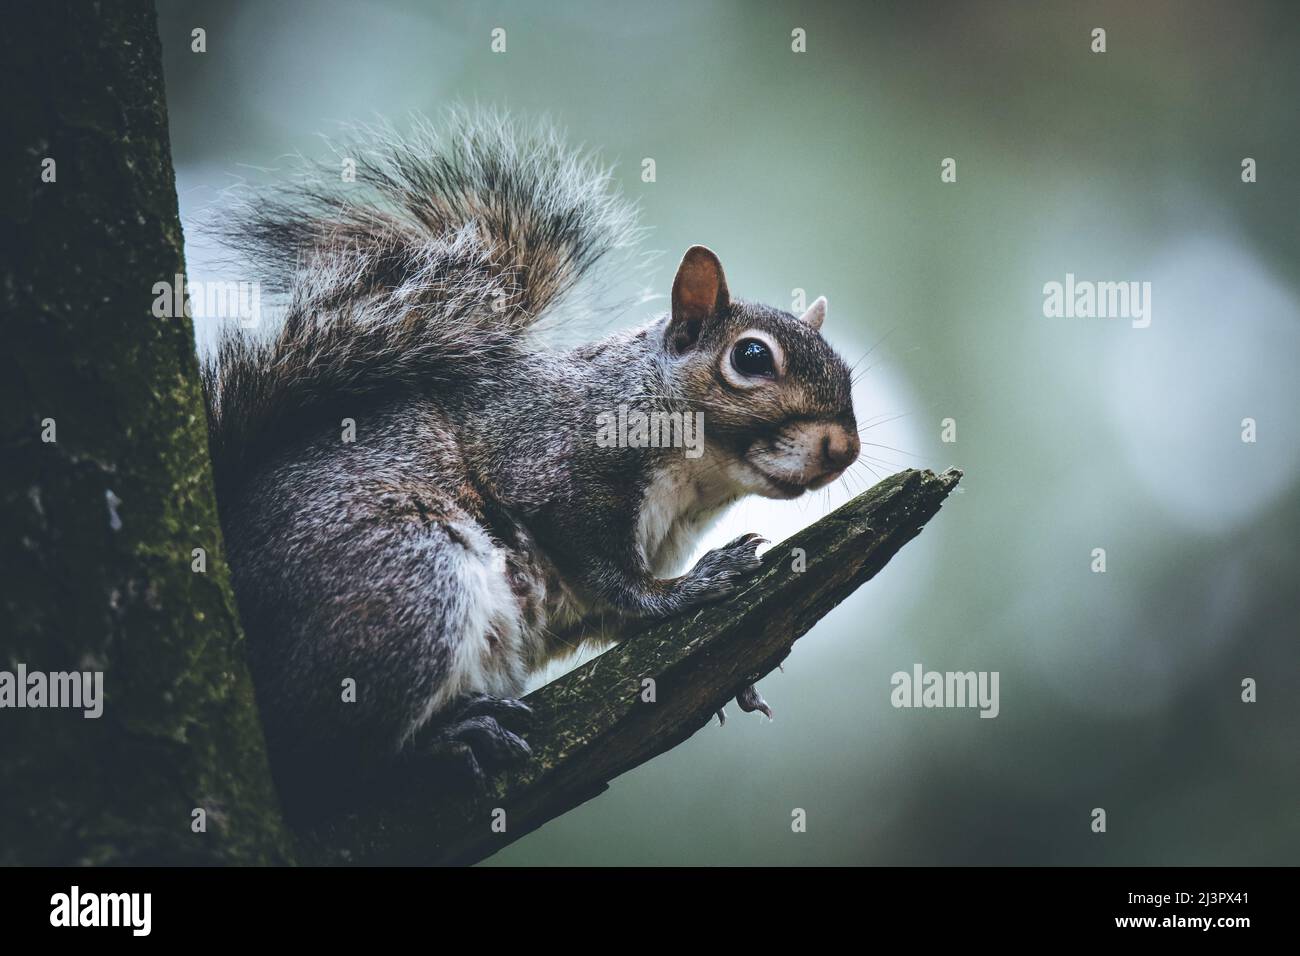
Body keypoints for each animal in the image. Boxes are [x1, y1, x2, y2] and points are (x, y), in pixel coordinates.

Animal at [201, 112, 861, 815]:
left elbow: (620, 618)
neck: (695, 484)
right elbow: (614, 576)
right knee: (328, 763)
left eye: (846, 371)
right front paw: (689, 587)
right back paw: (446, 739)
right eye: (752, 358)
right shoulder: (550, 466)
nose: (844, 449)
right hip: (408, 582)